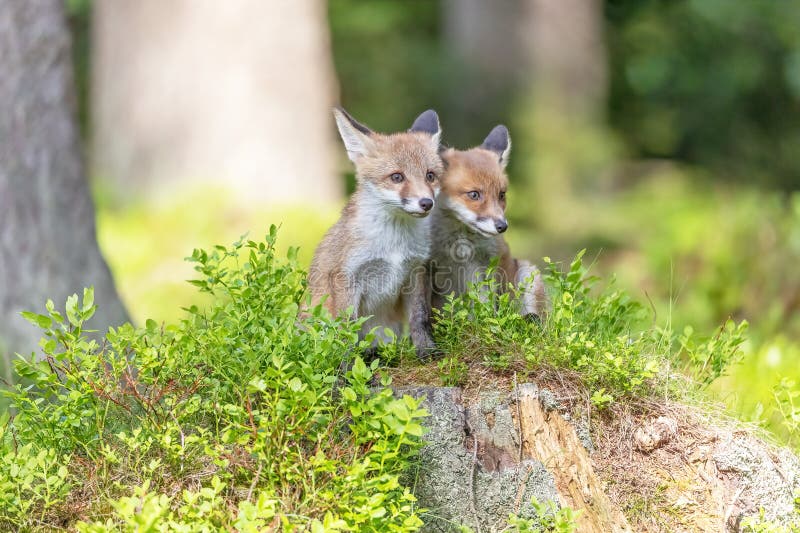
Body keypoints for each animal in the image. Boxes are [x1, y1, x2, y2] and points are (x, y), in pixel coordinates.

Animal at [308, 108, 444, 358]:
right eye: (397, 177)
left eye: (430, 175)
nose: (426, 203)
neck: (393, 245)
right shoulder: (347, 276)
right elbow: (346, 330)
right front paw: (347, 365)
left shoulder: (415, 271)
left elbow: (420, 318)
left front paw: (426, 350)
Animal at [429, 125, 547, 319]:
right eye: (474, 194)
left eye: (501, 195)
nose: (502, 226)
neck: (461, 246)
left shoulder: (491, 261)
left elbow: (489, 304)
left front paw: (490, 320)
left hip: (527, 272)